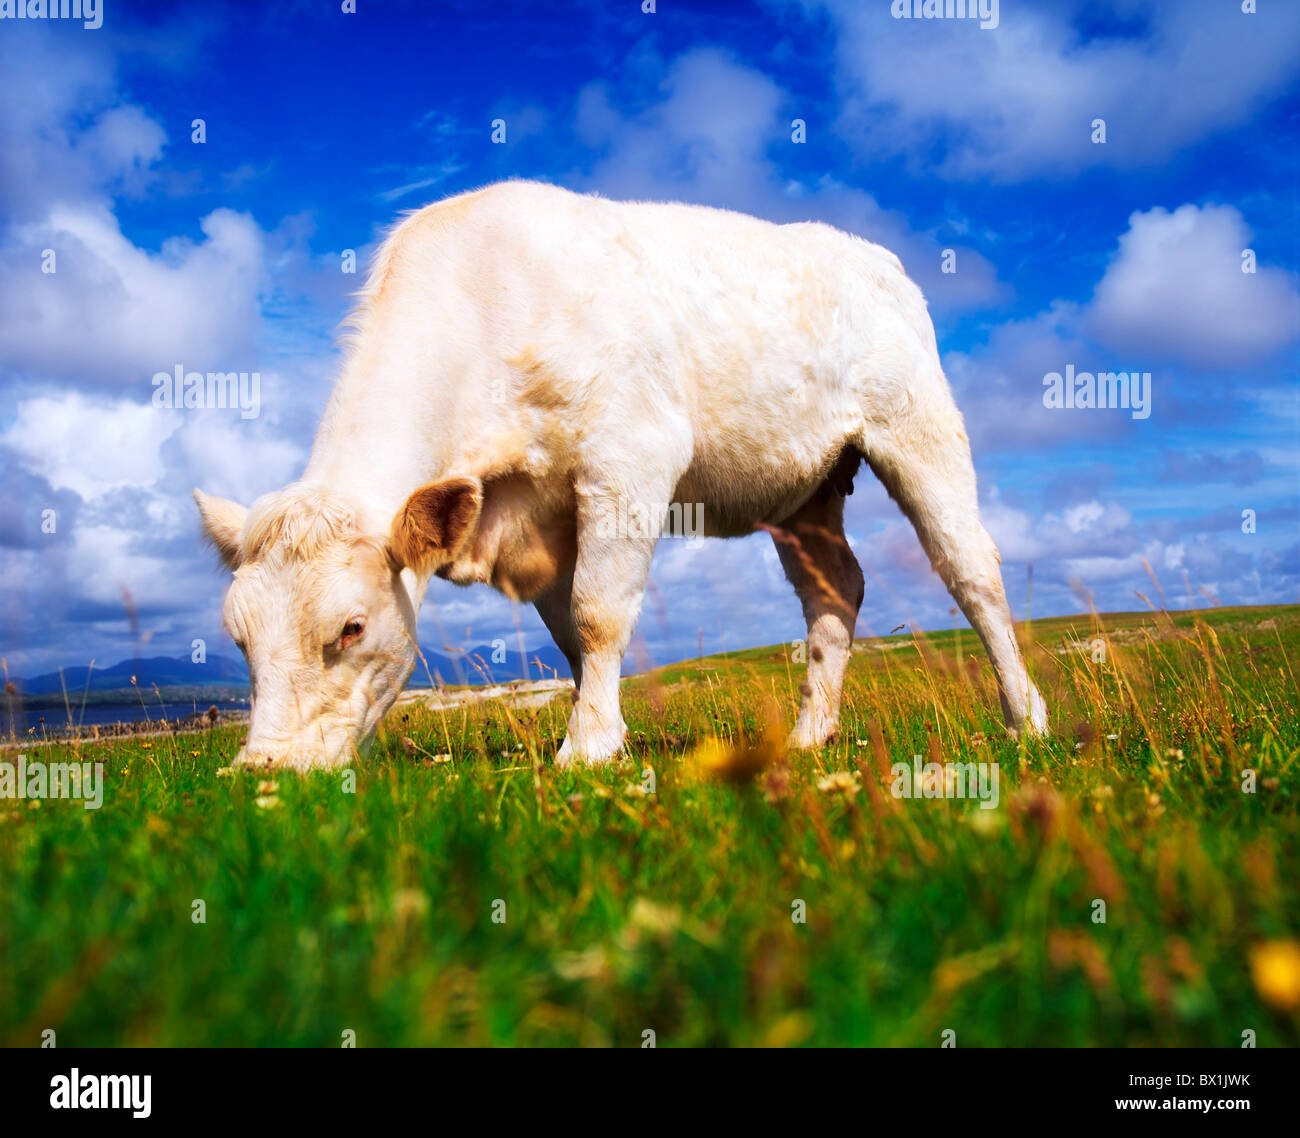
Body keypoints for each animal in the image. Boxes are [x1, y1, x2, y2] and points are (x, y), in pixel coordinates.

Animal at [195, 180, 1047, 771]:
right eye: (238, 636)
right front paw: (607, 732)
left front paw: (586, 750)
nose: (263, 770)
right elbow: (572, 634)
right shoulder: (536, 518)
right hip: (805, 488)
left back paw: (1025, 717)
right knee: (835, 589)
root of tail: (872, 254)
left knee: (971, 570)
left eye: (350, 627)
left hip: (917, 427)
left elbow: (600, 613)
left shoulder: (630, 454)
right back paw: (812, 734)